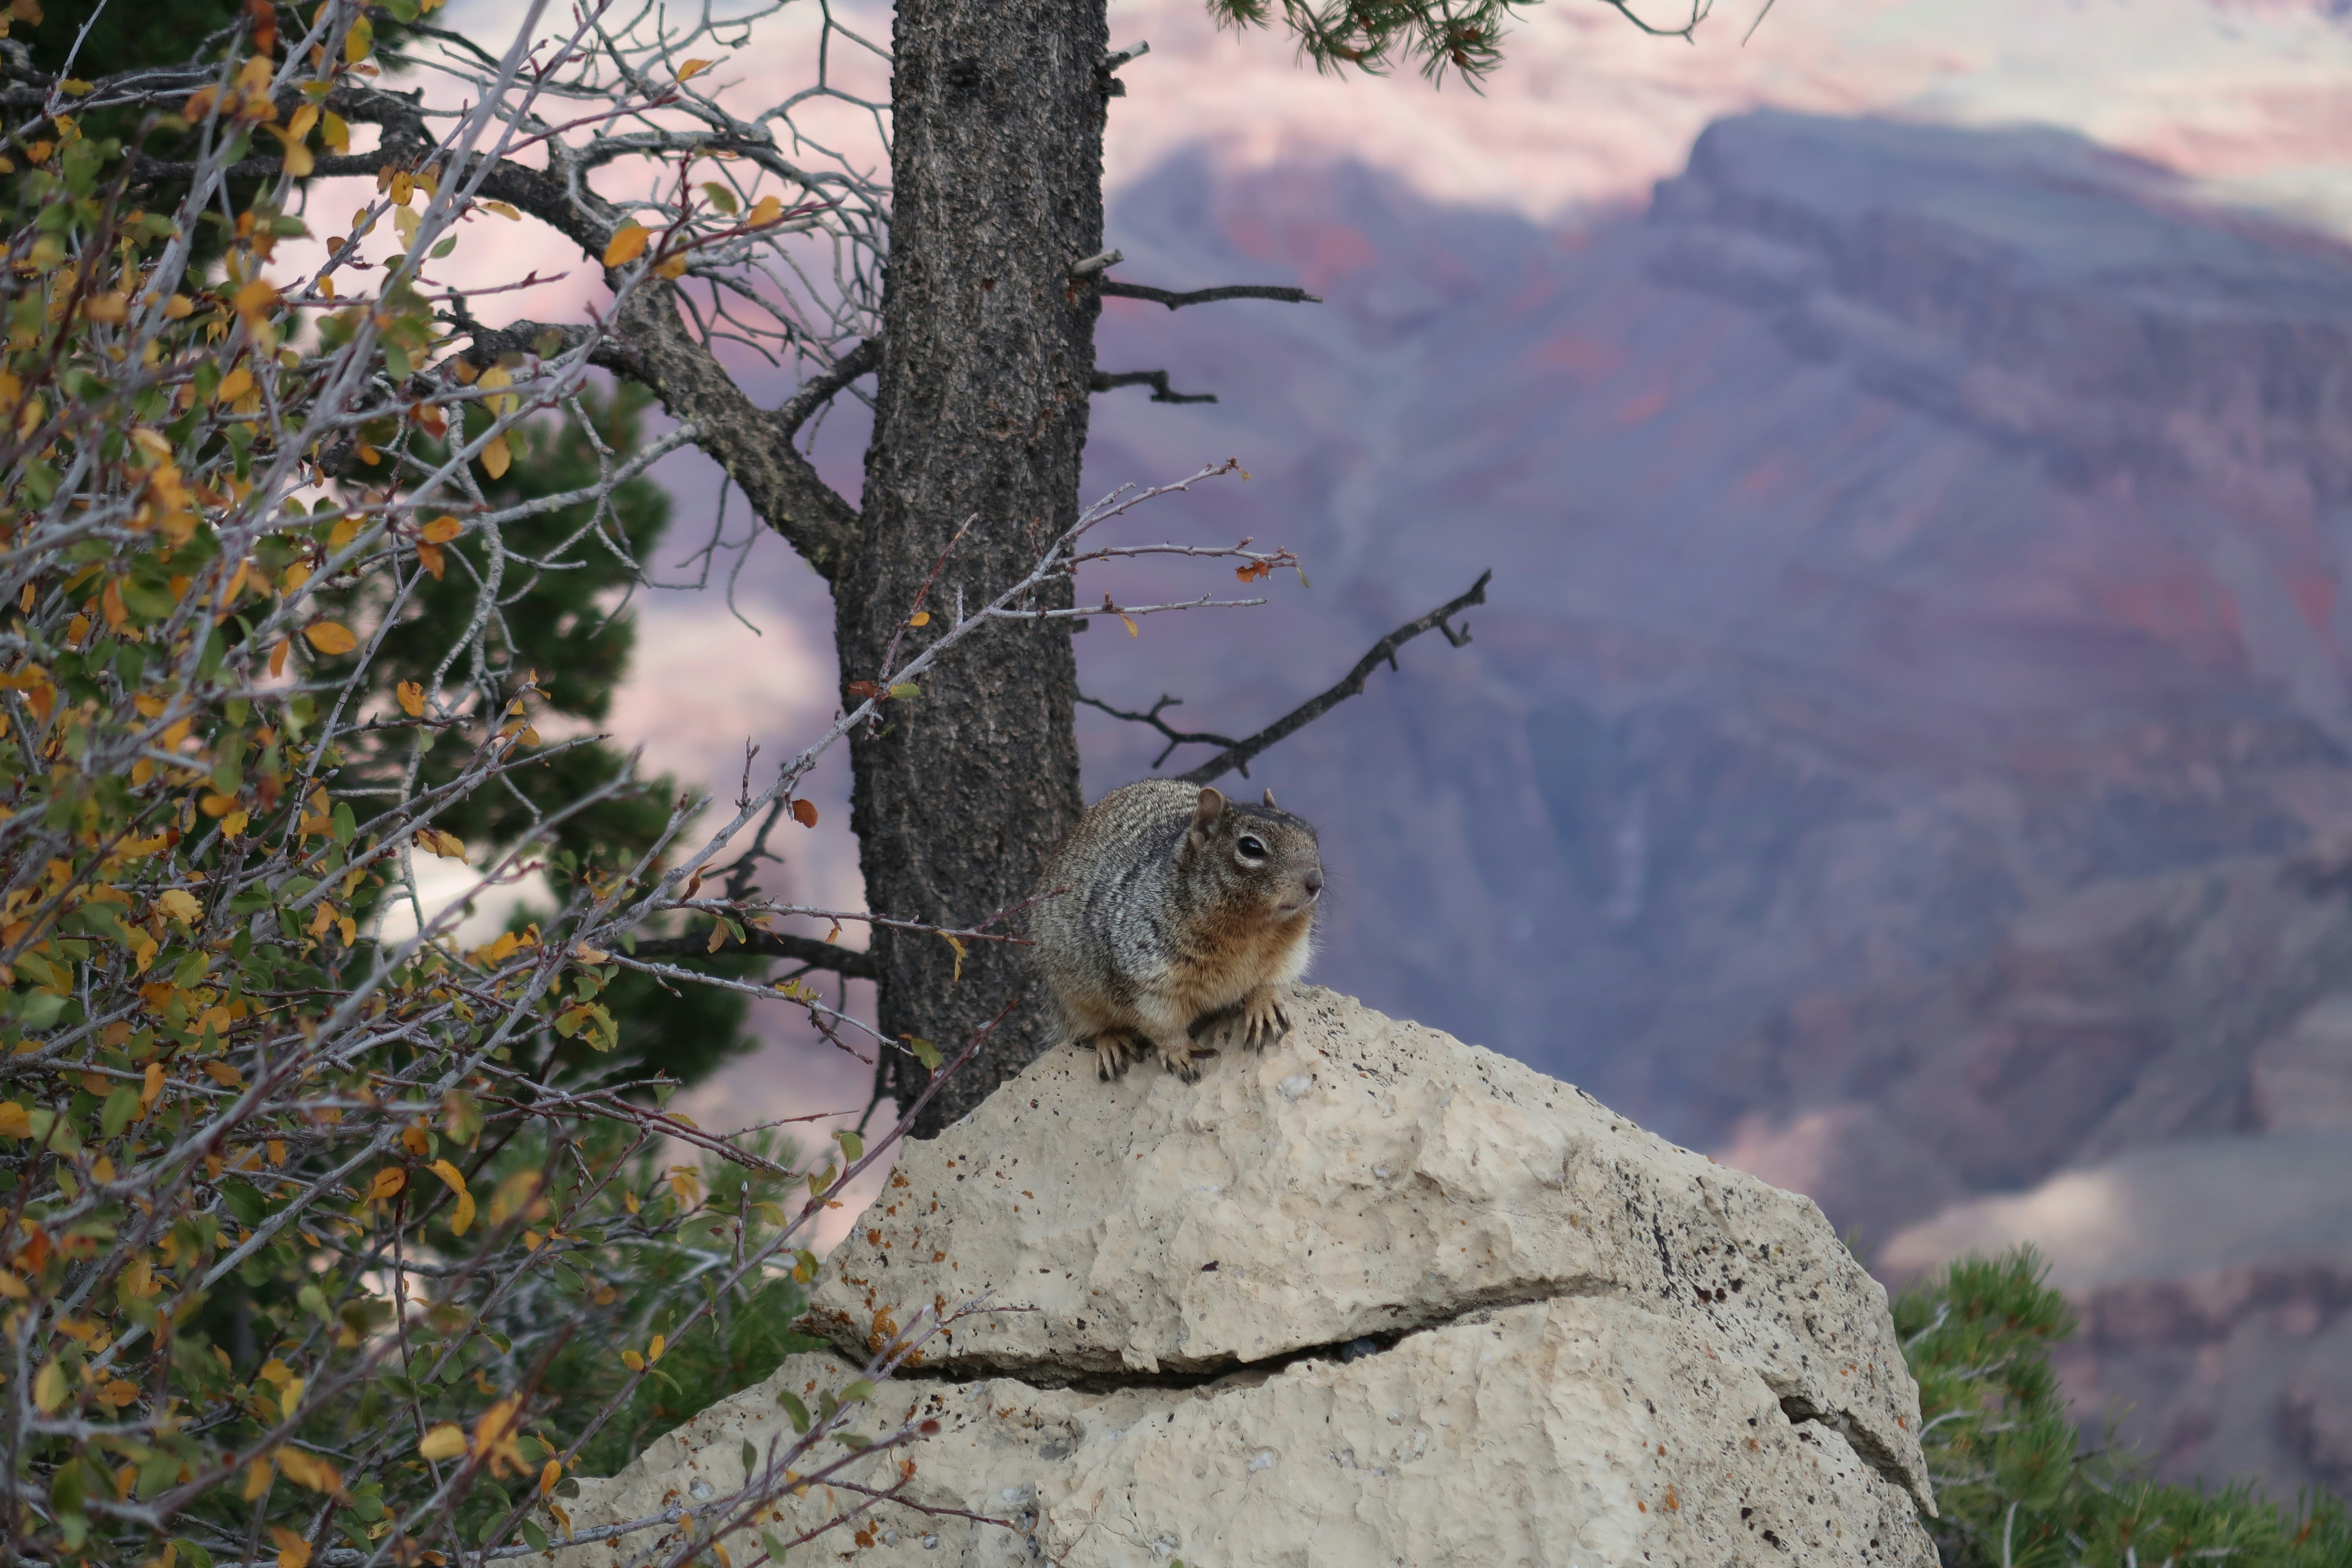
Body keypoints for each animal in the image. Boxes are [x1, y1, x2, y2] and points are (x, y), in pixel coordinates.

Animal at [1030, 779, 1324, 1082]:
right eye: (1251, 847)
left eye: (1311, 836)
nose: (1316, 882)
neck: (1253, 928)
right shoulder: (1149, 981)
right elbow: (1162, 1026)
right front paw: (1179, 1053)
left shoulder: (1290, 952)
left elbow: (1268, 980)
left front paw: (1264, 1005)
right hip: (1072, 1001)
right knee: (1091, 1028)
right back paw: (1112, 1045)